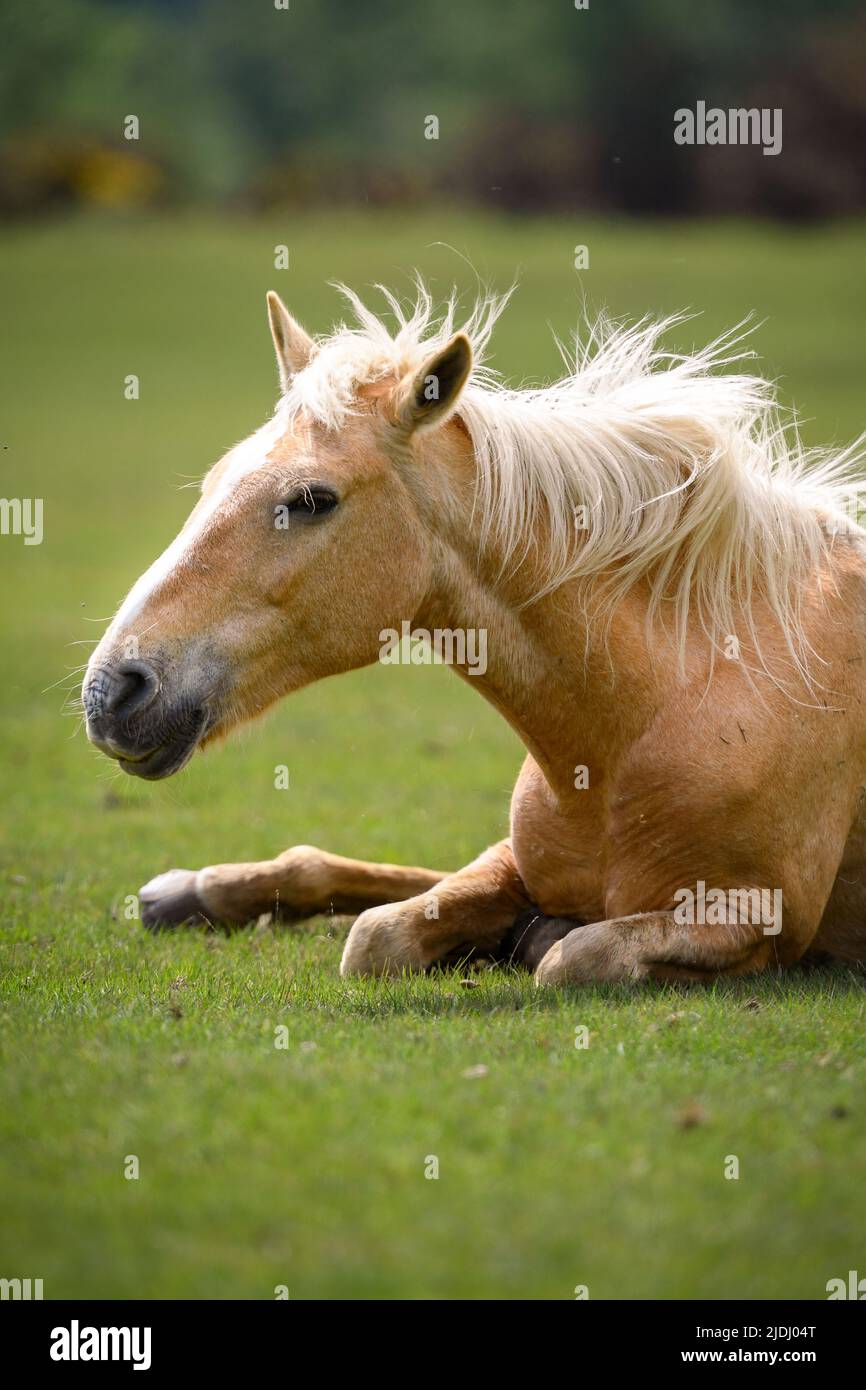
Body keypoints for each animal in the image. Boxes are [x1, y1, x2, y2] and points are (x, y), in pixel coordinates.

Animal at [82, 282, 866, 984]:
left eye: (310, 499)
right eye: (216, 478)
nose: (112, 690)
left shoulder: (758, 921)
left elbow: (574, 958)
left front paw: (535, 940)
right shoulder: (507, 862)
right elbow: (377, 936)